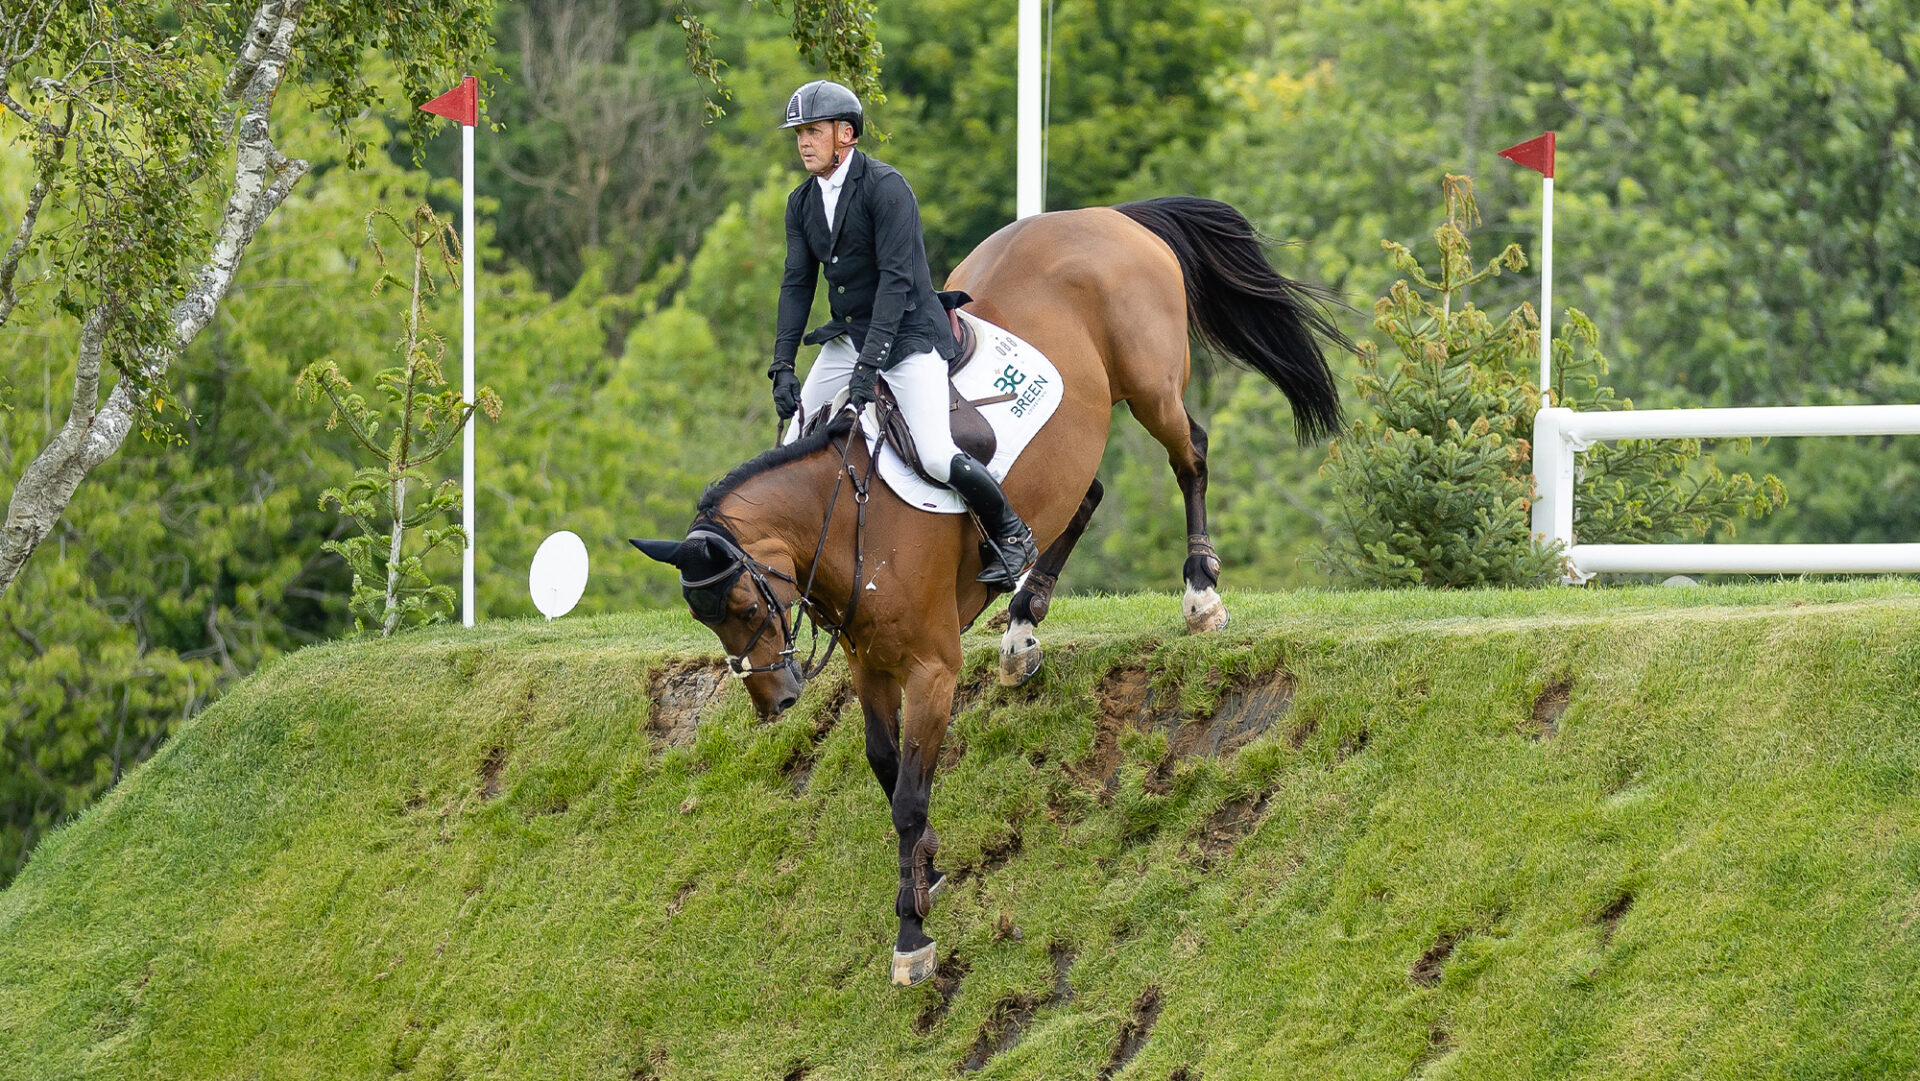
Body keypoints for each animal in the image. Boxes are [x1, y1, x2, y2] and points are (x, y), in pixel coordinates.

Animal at [631, 196, 1347, 987]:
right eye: (707, 620)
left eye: (744, 605)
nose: (775, 701)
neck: (847, 514)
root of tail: (1107, 214)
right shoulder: (869, 666)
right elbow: (888, 772)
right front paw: (928, 869)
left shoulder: (932, 669)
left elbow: (908, 797)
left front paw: (912, 934)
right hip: (1070, 447)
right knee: (1083, 497)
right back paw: (1022, 624)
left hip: (1150, 385)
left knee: (1190, 452)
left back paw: (1199, 596)